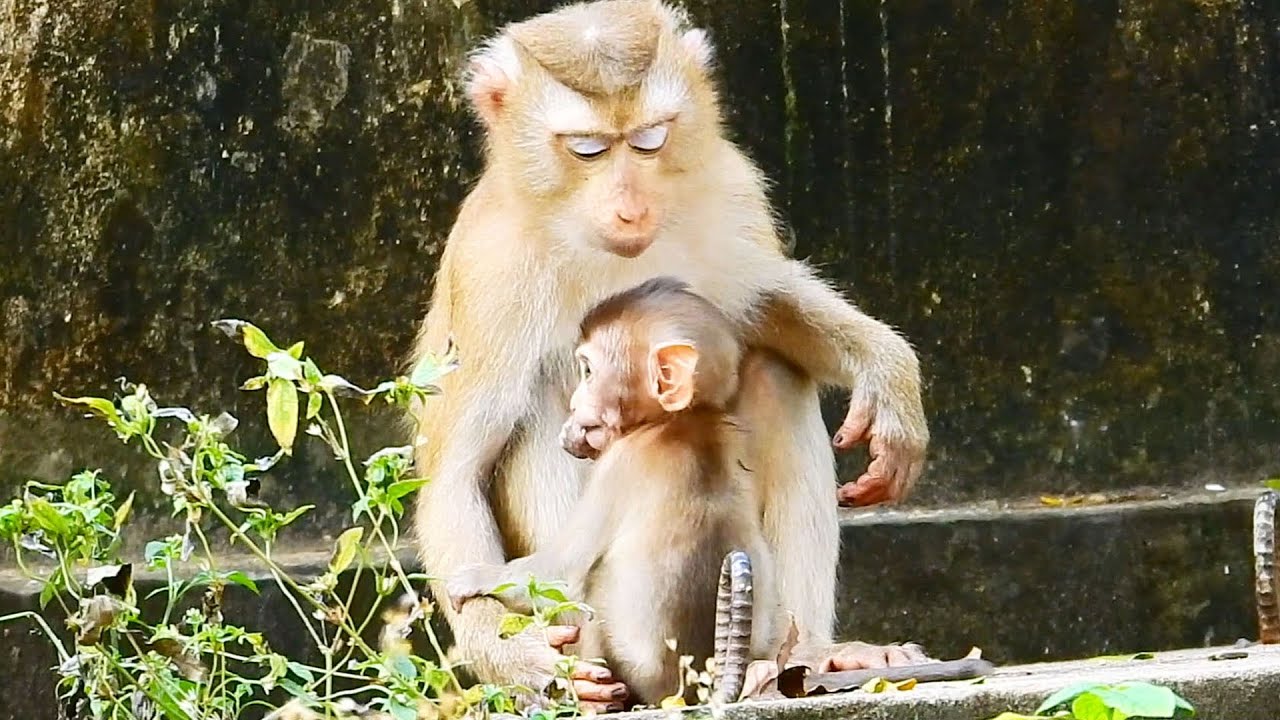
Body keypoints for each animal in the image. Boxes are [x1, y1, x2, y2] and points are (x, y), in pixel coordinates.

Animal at [444, 277, 783, 709]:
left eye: (588, 370)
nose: (575, 403)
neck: (685, 420)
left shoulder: (619, 463)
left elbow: (561, 567)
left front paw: (476, 578)